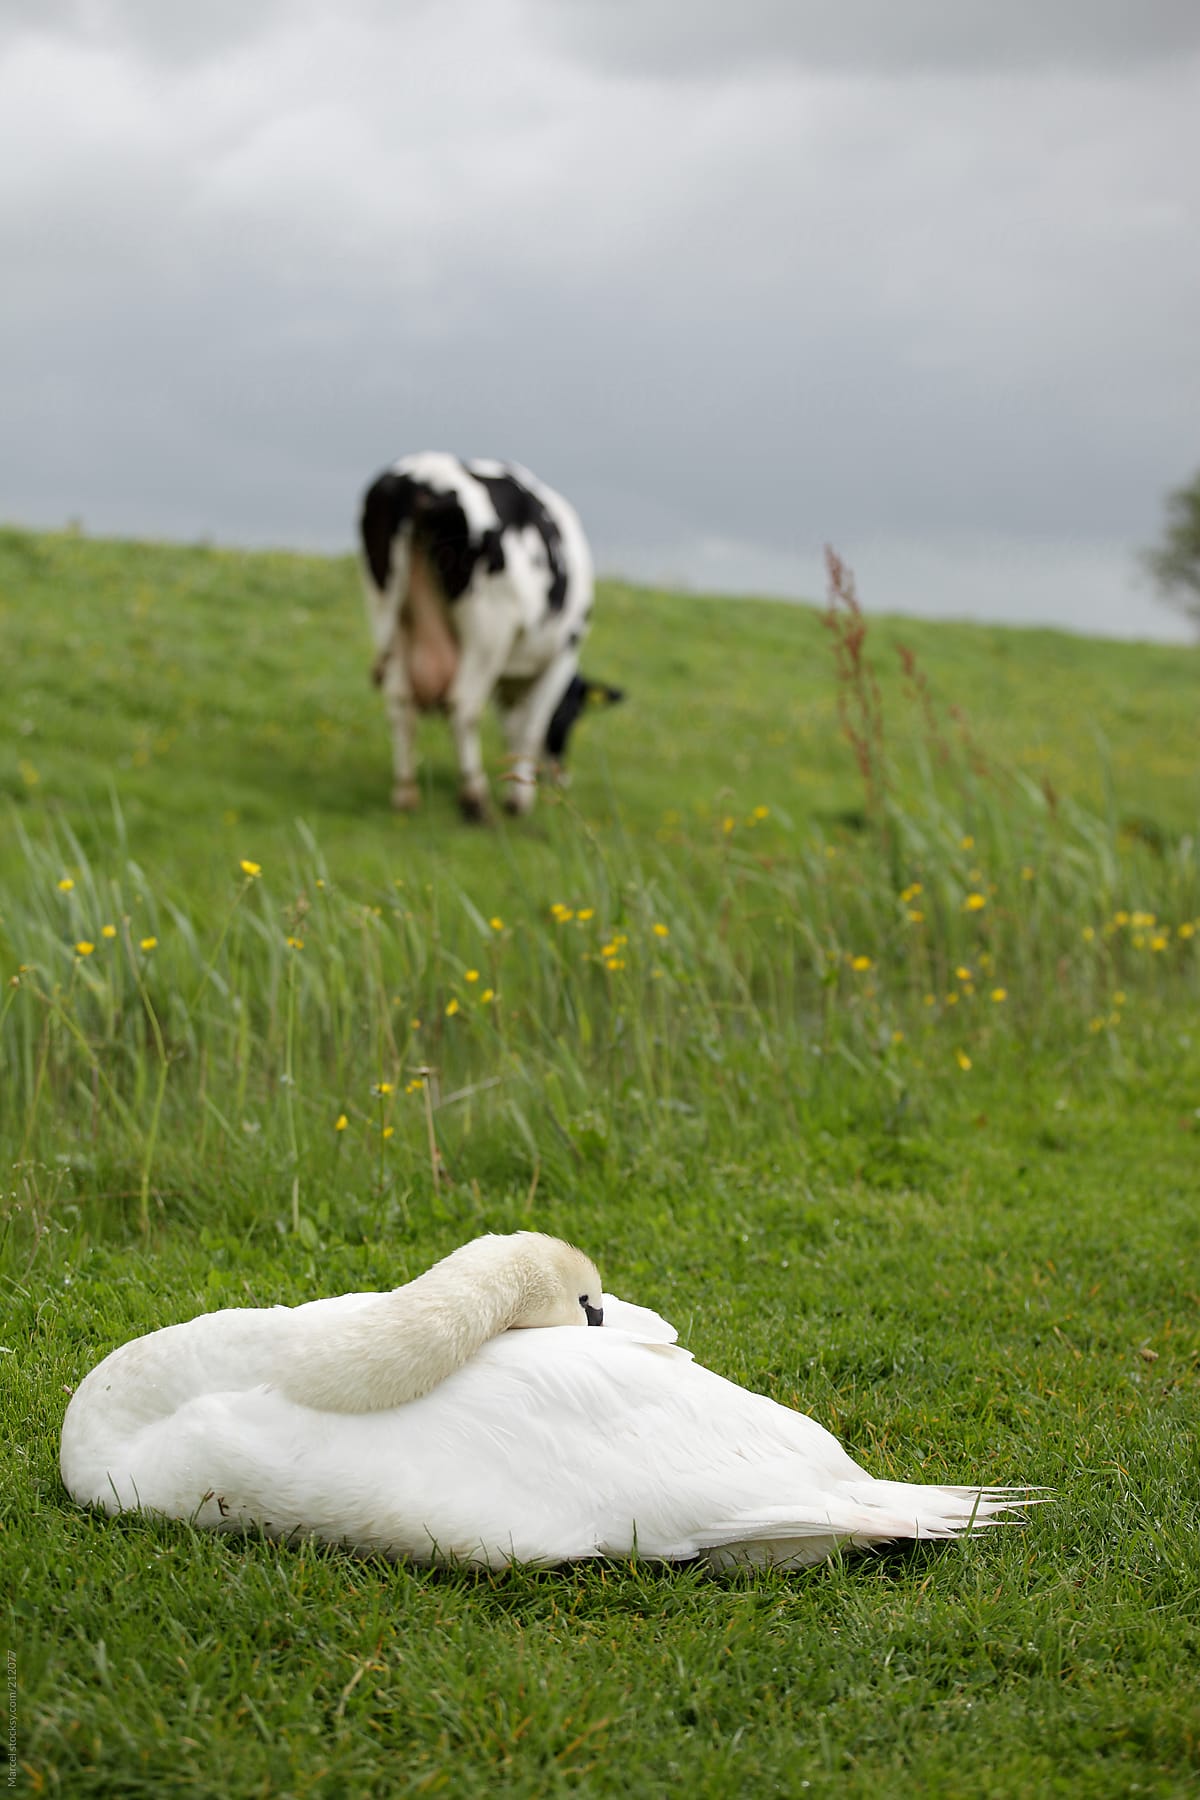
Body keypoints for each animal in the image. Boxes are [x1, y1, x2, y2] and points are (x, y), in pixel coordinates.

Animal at [359, 453, 622, 821]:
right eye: (572, 717)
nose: (560, 778)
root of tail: (424, 476)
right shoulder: (560, 657)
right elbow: (529, 728)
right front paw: (519, 800)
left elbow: (512, 727)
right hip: (488, 627)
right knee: (463, 705)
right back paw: (475, 799)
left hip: (387, 610)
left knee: (400, 702)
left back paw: (406, 793)